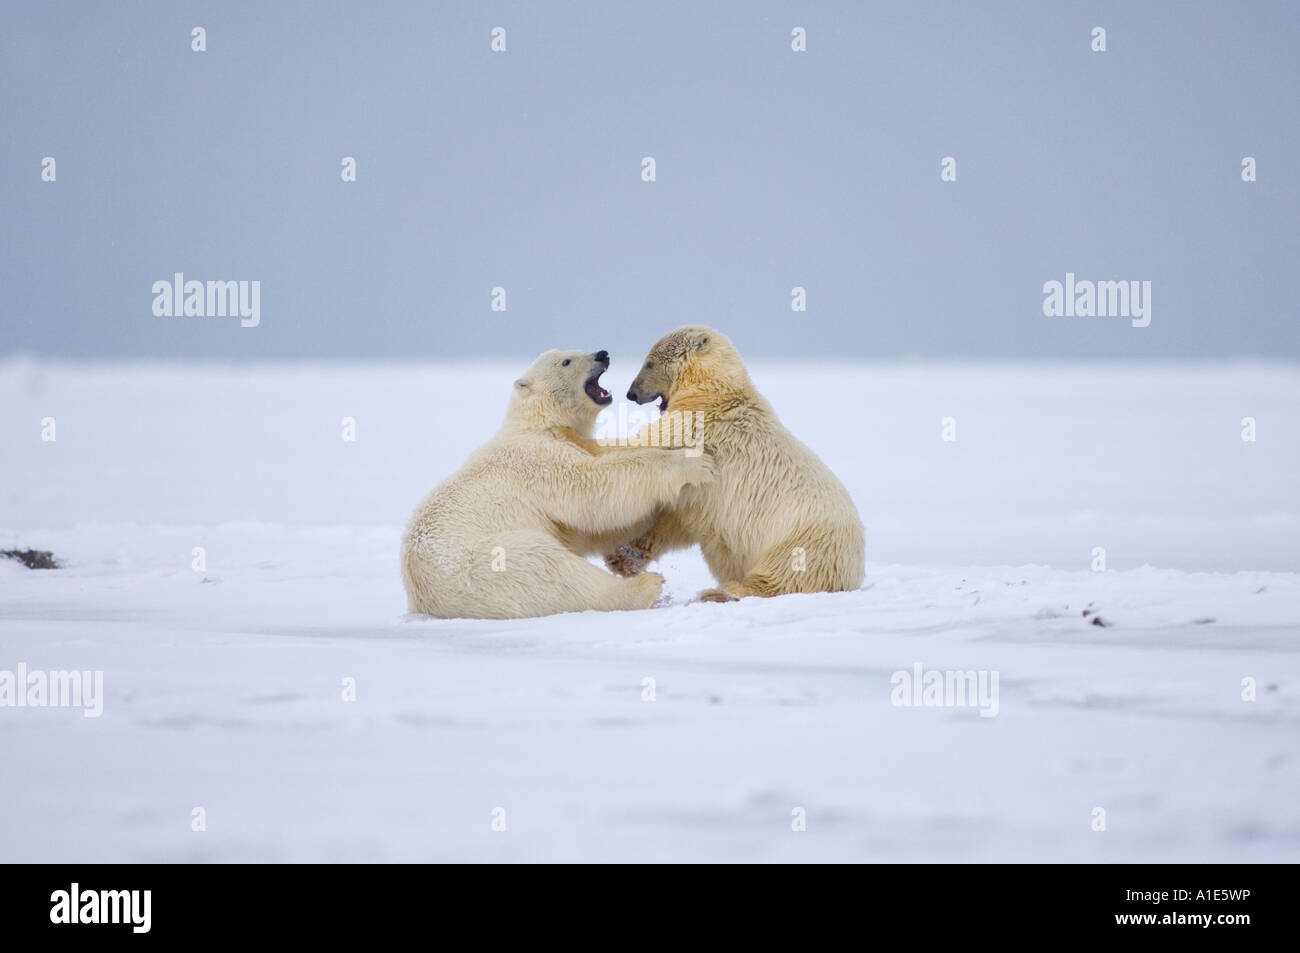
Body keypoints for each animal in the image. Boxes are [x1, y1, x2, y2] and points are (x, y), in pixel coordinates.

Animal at [401, 347, 713, 619]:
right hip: (488, 562)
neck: (541, 423)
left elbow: (588, 527)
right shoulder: (539, 463)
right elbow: (595, 490)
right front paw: (694, 463)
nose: (602, 354)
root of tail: (426, 598)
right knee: (553, 571)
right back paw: (645, 587)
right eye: (566, 361)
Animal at [609, 326, 865, 602]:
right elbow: (677, 516)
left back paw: (722, 591)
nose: (631, 394)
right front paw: (622, 558)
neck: (715, 391)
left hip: (803, 540)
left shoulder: (697, 424)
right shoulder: (703, 498)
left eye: (649, 363)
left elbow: (651, 446)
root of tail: (855, 571)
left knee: (785, 574)